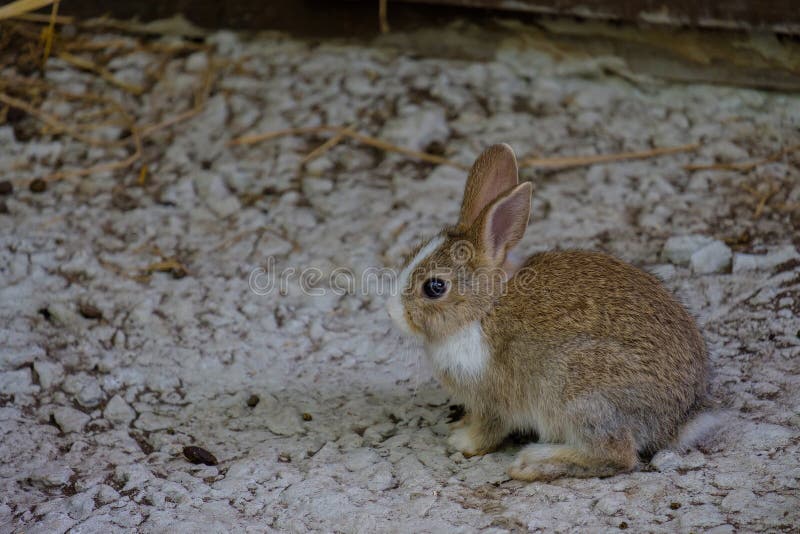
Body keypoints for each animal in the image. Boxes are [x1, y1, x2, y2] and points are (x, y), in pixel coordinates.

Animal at [386, 143, 710, 481]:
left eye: (434, 287)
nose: (392, 312)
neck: (484, 308)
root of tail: (679, 420)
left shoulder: (493, 399)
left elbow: (489, 428)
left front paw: (462, 442)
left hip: (579, 392)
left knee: (617, 455)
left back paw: (533, 462)